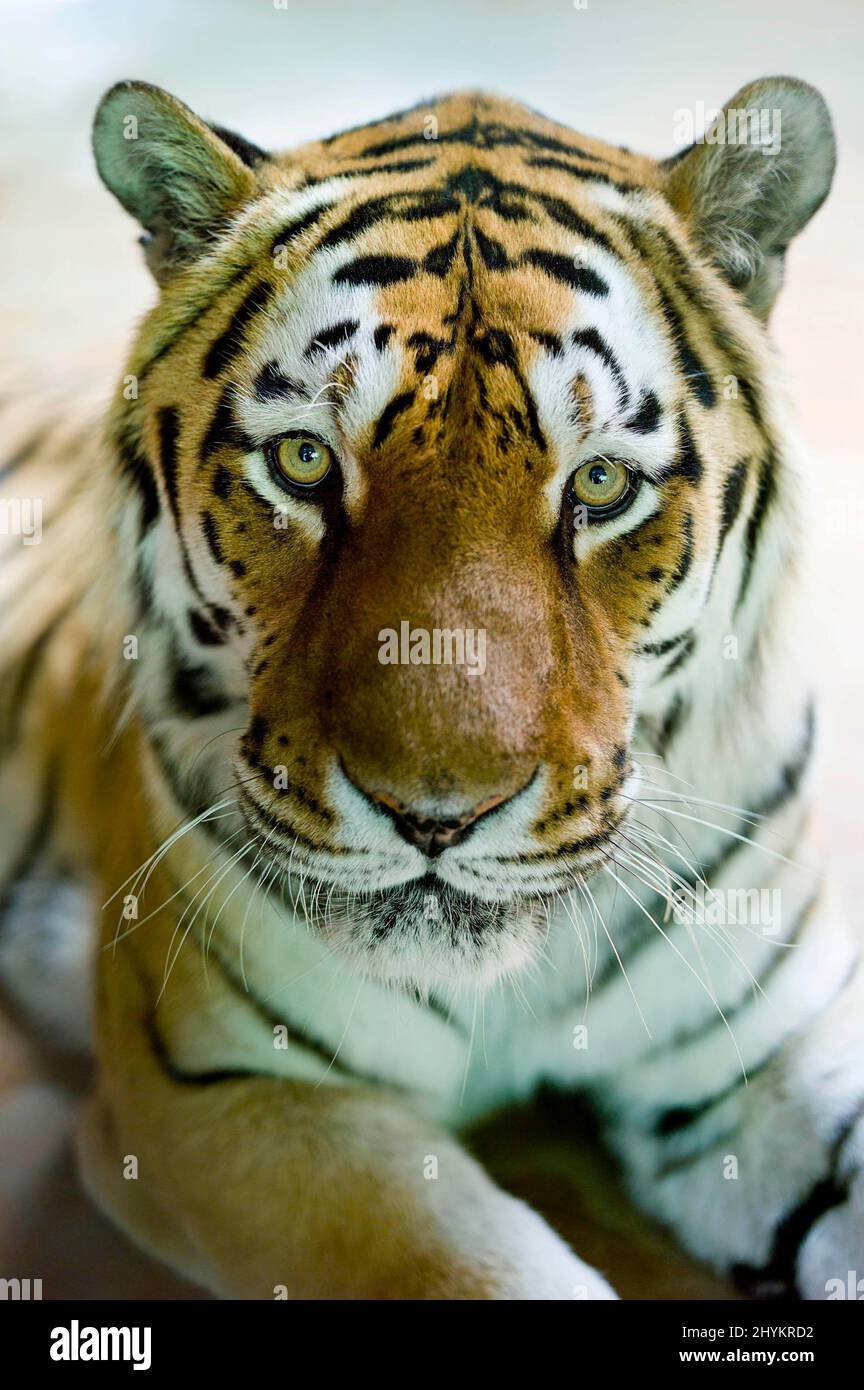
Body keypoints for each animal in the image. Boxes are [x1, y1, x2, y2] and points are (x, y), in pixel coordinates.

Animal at [0, 72, 860, 1301]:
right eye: (305, 461)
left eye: (602, 483)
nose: (436, 818)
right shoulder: (227, 1090)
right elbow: (478, 1268)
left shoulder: (774, 1048)